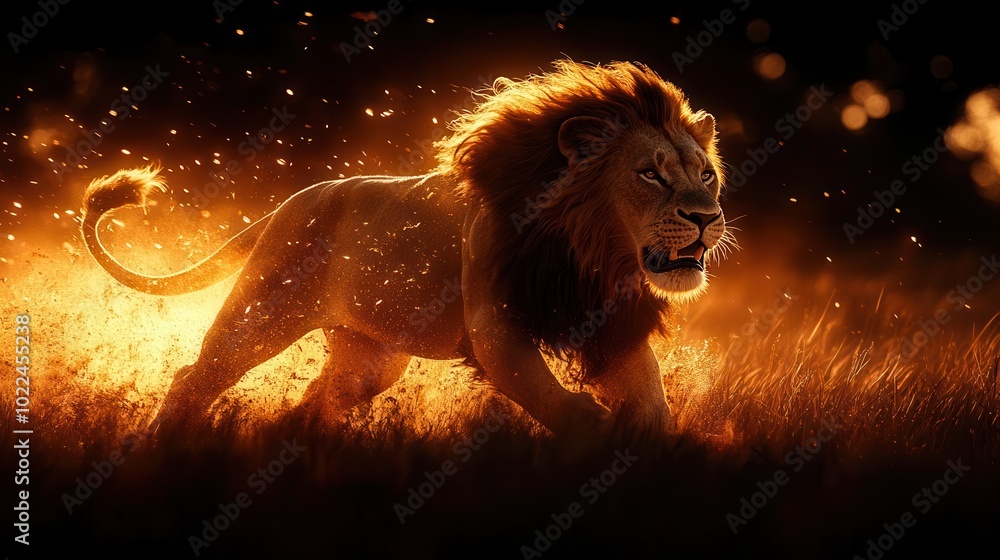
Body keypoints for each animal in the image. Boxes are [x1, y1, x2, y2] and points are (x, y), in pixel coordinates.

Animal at [81, 60, 728, 441]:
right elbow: (549, 396)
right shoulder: (495, 325)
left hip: (369, 358)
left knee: (317, 401)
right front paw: (596, 430)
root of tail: (290, 202)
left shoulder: (614, 324)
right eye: (650, 173)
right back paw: (162, 449)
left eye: (705, 174)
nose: (707, 218)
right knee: (195, 375)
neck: (589, 251)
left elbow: (650, 401)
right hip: (261, 315)